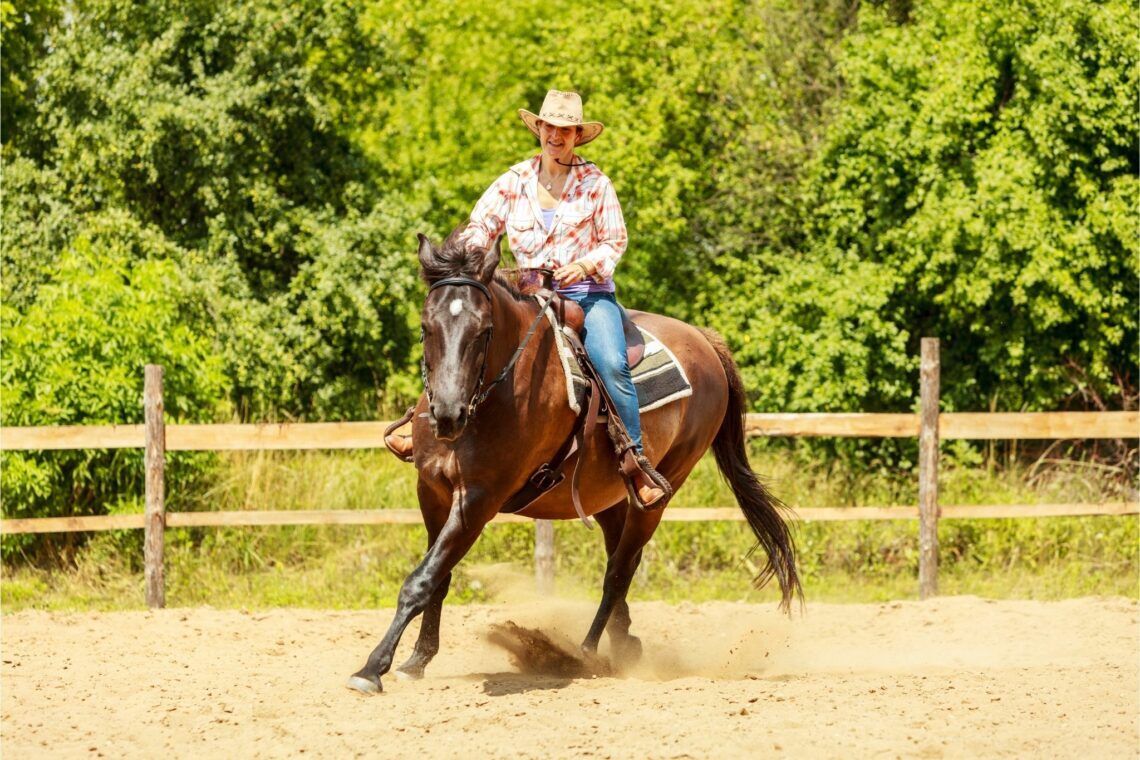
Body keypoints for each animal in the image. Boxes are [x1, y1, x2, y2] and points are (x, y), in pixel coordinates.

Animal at [347, 229, 801, 694]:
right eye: (427, 327)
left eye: (484, 330)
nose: (447, 414)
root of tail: (705, 341)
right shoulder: (432, 491)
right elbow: (438, 578)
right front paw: (417, 659)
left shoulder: (478, 500)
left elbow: (422, 580)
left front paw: (372, 667)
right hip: (610, 495)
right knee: (621, 558)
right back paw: (624, 644)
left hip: (660, 492)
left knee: (619, 570)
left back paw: (584, 652)